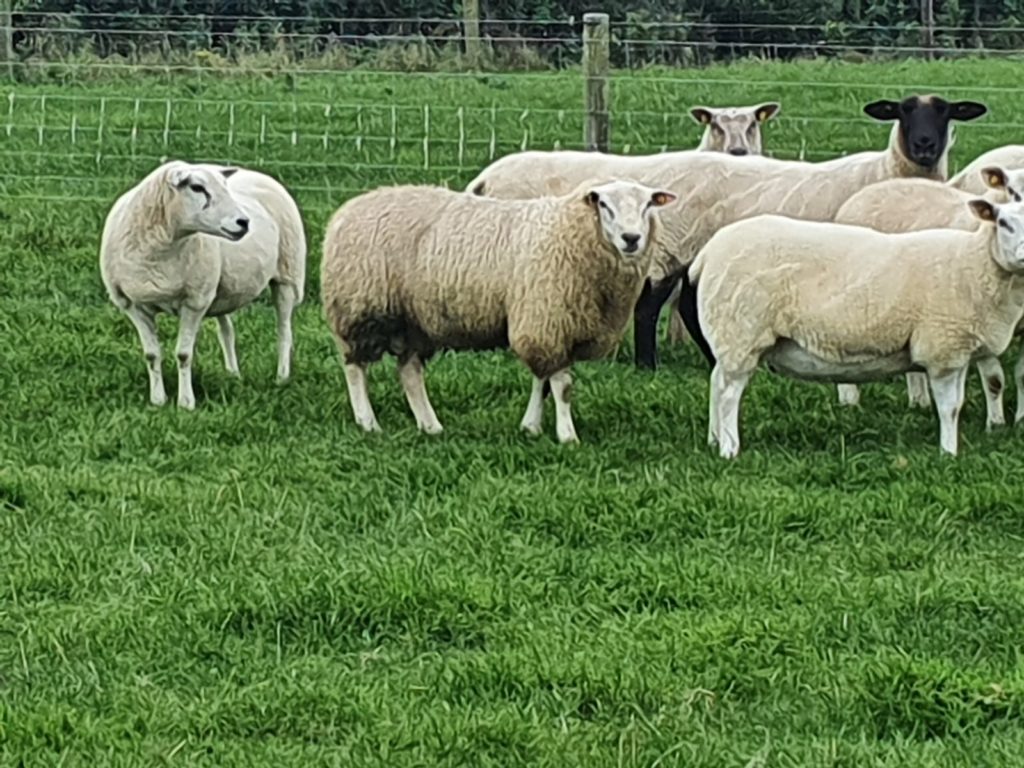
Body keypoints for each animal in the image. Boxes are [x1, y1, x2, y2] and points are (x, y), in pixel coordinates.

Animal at [100, 160, 307, 409]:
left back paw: (282, 377)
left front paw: (186, 402)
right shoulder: (133, 305)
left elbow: (183, 355)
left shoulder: (194, 301)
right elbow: (151, 355)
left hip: (288, 275)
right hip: (223, 288)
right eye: (197, 187)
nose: (244, 222)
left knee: (284, 331)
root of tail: (255, 173)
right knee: (227, 331)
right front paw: (158, 400)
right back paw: (232, 374)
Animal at [320, 179, 677, 443]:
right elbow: (561, 387)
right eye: (604, 205)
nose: (631, 238)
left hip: (412, 321)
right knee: (355, 367)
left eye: (648, 205)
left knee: (409, 371)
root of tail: (346, 211)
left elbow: (543, 383)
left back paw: (430, 426)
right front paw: (567, 436)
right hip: (361, 309)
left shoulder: (554, 325)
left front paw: (531, 427)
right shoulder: (547, 320)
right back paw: (368, 422)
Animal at [467, 95, 988, 370]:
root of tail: (484, 178)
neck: (885, 172)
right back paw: (648, 366)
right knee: (649, 307)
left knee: (685, 310)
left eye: (945, 113)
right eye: (903, 111)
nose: (925, 145)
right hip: (670, 251)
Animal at [687, 199, 1024, 458]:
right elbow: (949, 408)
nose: (1023, 254)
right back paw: (729, 449)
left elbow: (959, 403)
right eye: (1003, 223)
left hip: (729, 338)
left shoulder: (958, 350)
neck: (975, 262)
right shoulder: (942, 347)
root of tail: (708, 252)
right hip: (741, 332)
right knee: (729, 394)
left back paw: (714, 440)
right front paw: (948, 454)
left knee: (717, 383)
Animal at [832, 166, 1024, 425]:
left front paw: (1020, 419)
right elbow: (994, 380)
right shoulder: (980, 319)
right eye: (1012, 191)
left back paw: (919, 402)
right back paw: (849, 402)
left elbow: (1021, 375)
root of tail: (867, 190)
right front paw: (996, 424)